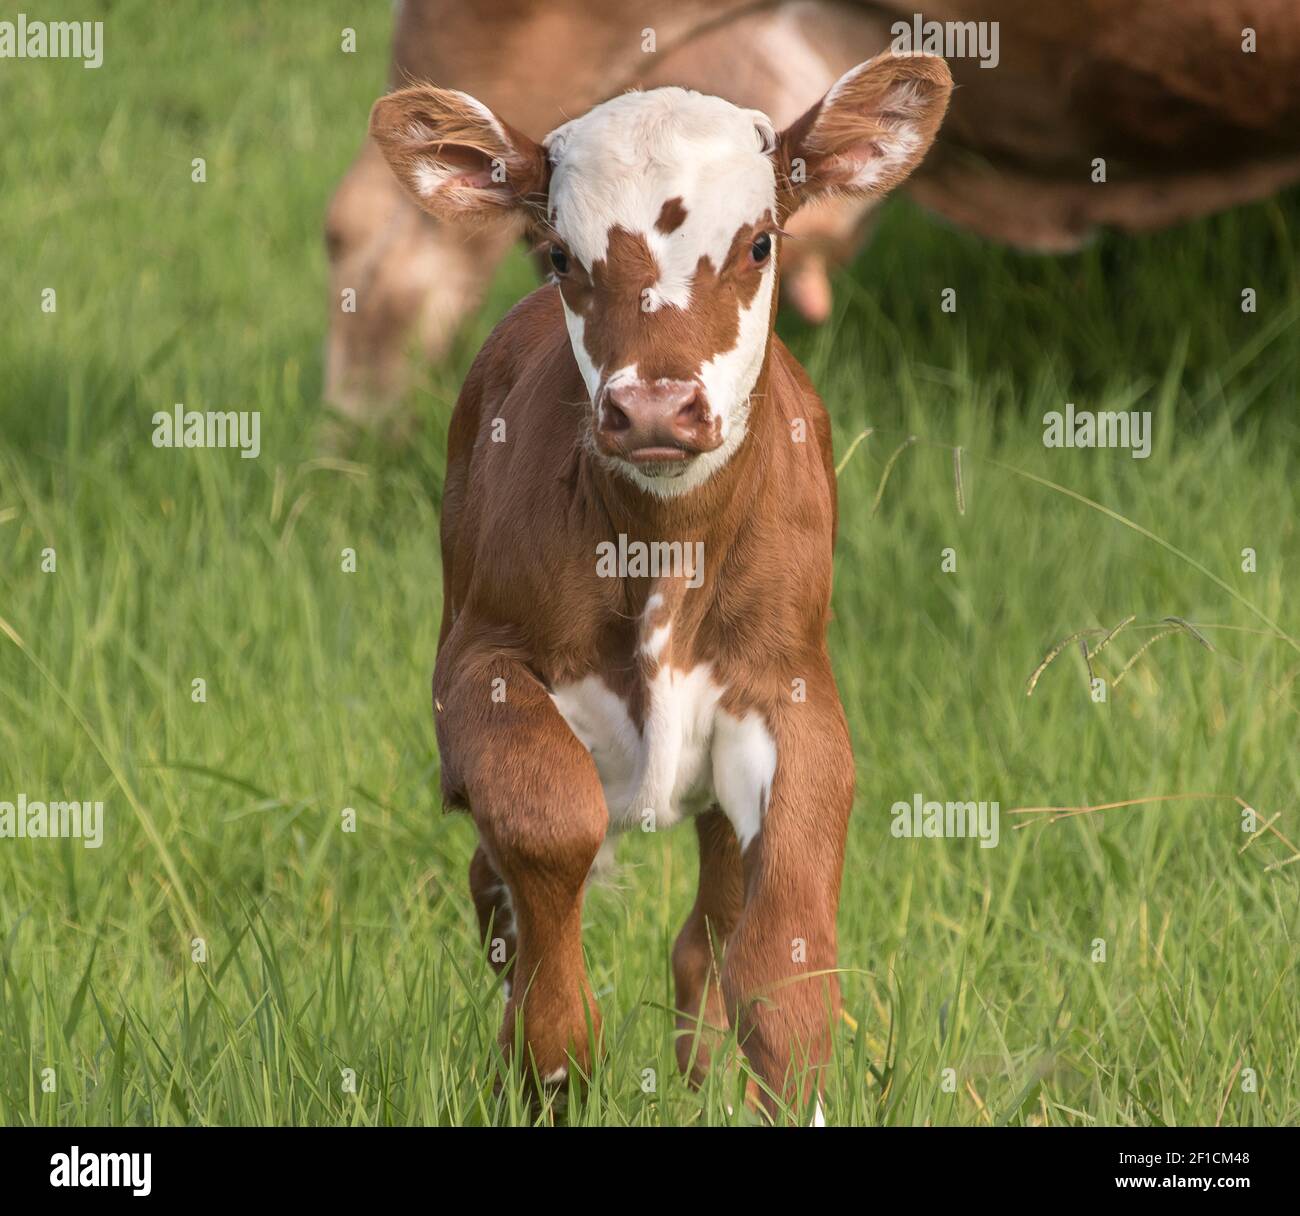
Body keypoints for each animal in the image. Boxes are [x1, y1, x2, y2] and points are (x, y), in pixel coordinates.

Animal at [367, 50, 954, 1119]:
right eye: (560, 255)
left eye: (761, 243)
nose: (653, 407)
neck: (662, 553)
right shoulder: (477, 665)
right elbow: (549, 823)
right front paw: (551, 1059)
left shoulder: (790, 686)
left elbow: (784, 947)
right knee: (496, 885)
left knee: (708, 926)